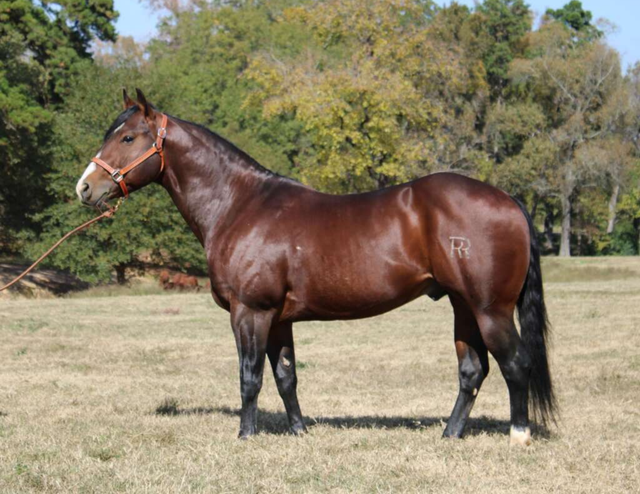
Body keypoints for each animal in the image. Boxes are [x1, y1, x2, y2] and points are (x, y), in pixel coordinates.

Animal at [75, 89, 556, 445]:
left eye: (128, 138)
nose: (84, 187)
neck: (240, 205)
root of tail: (509, 200)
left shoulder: (251, 312)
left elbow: (250, 377)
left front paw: (245, 436)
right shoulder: (278, 319)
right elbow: (286, 376)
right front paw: (299, 432)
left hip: (490, 309)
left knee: (516, 364)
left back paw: (518, 435)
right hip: (463, 307)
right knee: (473, 370)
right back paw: (450, 434)